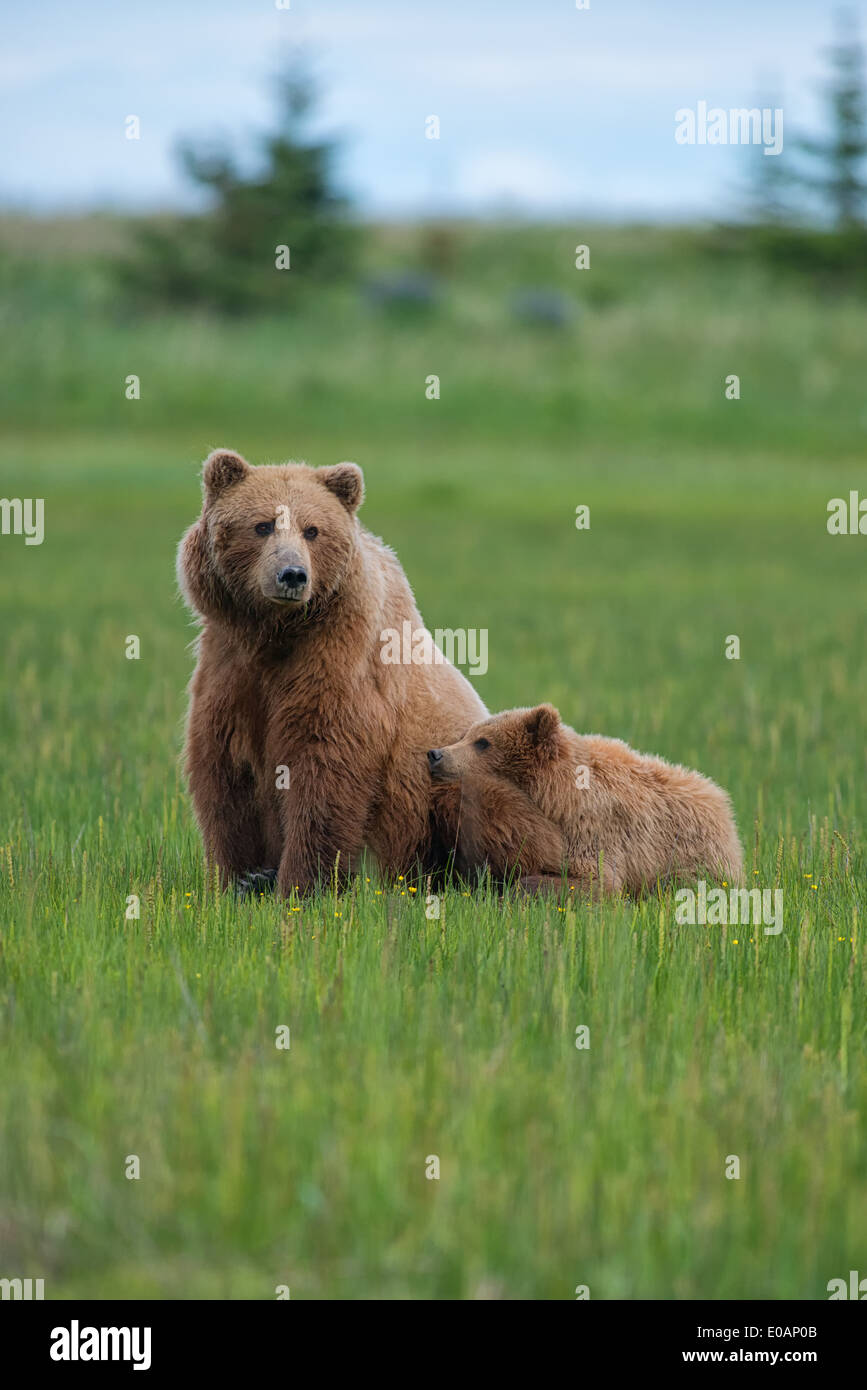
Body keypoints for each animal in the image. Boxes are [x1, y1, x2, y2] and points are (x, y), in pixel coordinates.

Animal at [177, 449, 486, 894]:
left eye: (312, 530)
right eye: (262, 525)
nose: (292, 575)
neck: (275, 635)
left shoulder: (340, 664)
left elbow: (324, 768)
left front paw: (299, 883)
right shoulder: (230, 666)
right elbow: (227, 770)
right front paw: (242, 877)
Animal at [427, 704, 743, 894]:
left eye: (483, 742)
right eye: (467, 735)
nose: (436, 754)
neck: (555, 797)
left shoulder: (594, 828)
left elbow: (598, 881)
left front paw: (524, 886)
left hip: (693, 855)